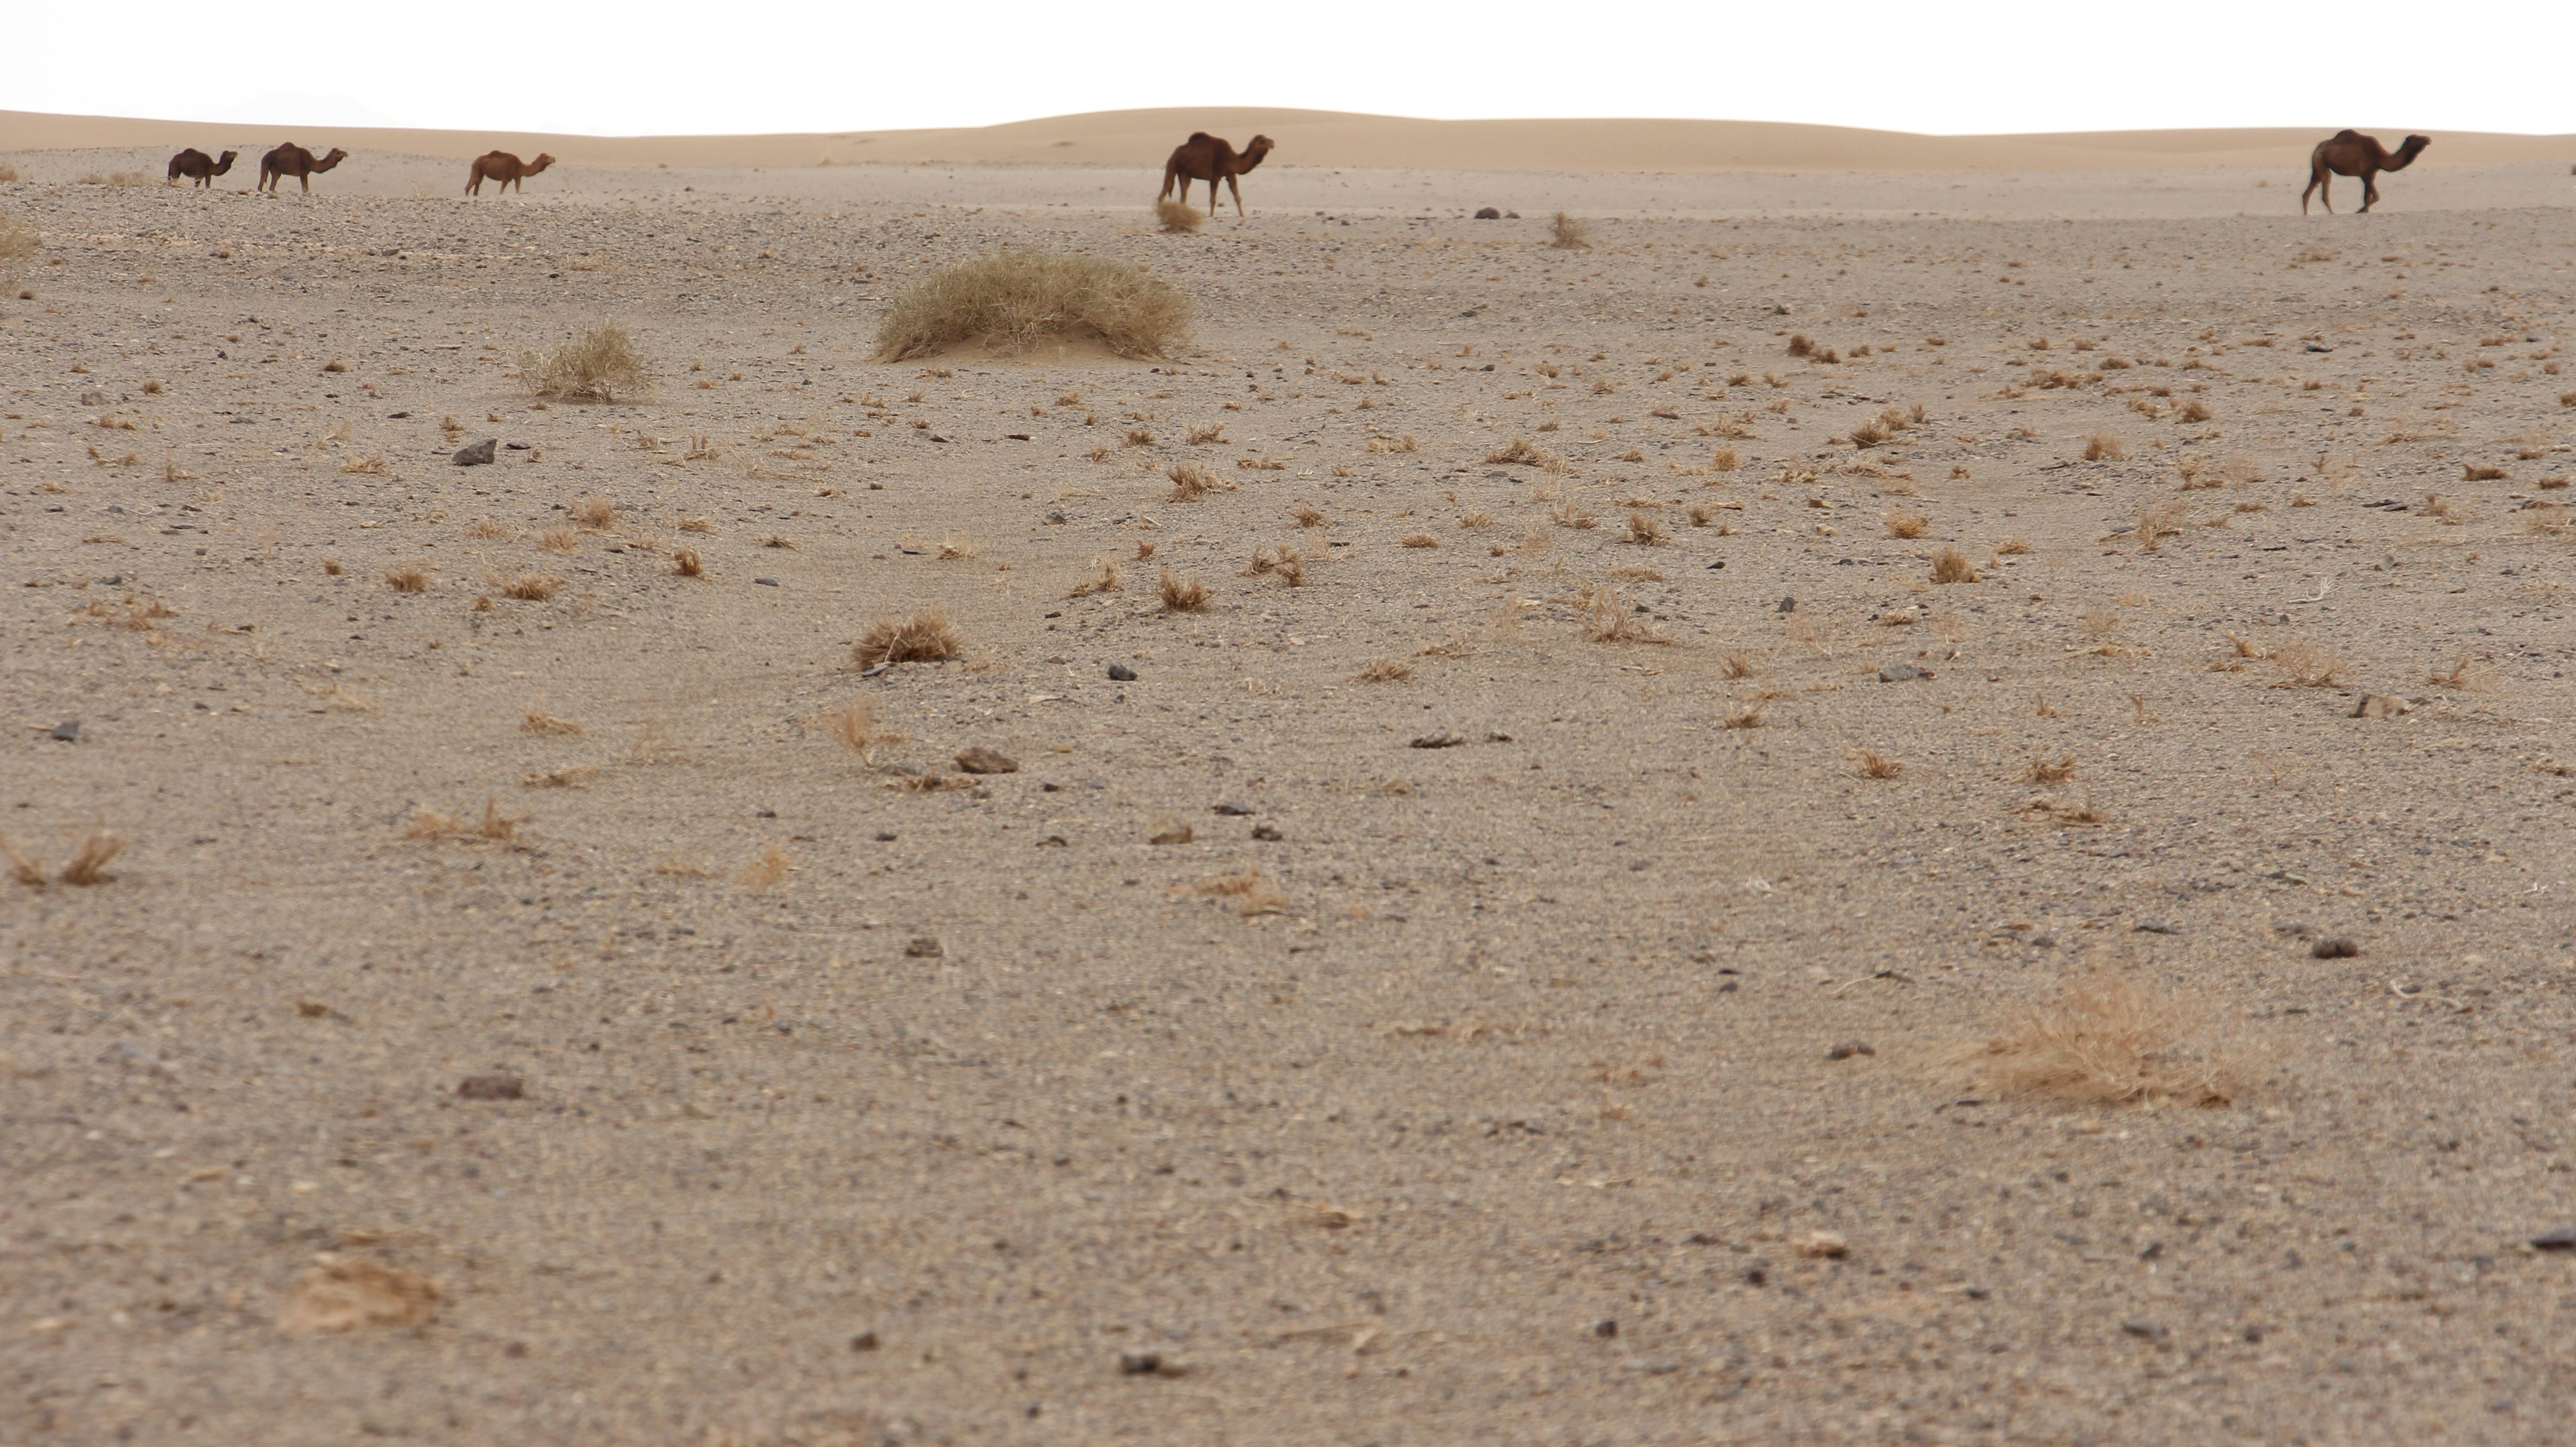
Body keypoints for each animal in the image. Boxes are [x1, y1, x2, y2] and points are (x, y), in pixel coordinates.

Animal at [166, 149, 238, 188]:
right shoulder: (199, 175)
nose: (236, 153)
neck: (211, 166)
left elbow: (208, 186)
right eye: (229, 154)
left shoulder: (208, 175)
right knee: (174, 179)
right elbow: (196, 185)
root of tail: (171, 161)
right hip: (175, 167)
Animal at [257, 143, 349, 194]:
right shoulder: (303, 172)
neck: (312, 162)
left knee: (272, 184)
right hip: (265, 165)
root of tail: (265, 156)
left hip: (276, 171)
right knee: (262, 180)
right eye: (338, 152)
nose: (346, 154)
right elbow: (305, 190)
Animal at [466, 151, 555, 196]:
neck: (520, 166)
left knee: (478, 182)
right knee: (473, 182)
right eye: (546, 157)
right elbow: (501, 191)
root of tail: (475, 161)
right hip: (477, 167)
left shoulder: (517, 176)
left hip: (481, 171)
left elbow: (518, 189)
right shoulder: (506, 176)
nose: (554, 159)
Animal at [1159, 132, 1275, 218]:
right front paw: (1211, 215)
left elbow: (1238, 197)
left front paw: (1243, 215)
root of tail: (1175, 152)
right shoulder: (1215, 176)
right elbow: (1213, 199)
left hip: (1185, 173)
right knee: (1167, 187)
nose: (1273, 143)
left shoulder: (1231, 175)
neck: (1232, 159)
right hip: (1172, 164)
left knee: (1184, 194)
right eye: (1263, 141)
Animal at [2302, 130, 2430, 215]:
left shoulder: (2372, 174)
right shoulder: (2366, 175)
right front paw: (2360, 210)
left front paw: (2365, 211)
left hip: (2317, 167)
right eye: (2417, 139)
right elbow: (2376, 197)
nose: (2429, 139)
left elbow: (2367, 197)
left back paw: (2307, 214)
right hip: (2321, 162)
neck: (2380, 157)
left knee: (2309, 190)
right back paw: (2333, 213)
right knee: (2325, 185)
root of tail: (2317, 149)